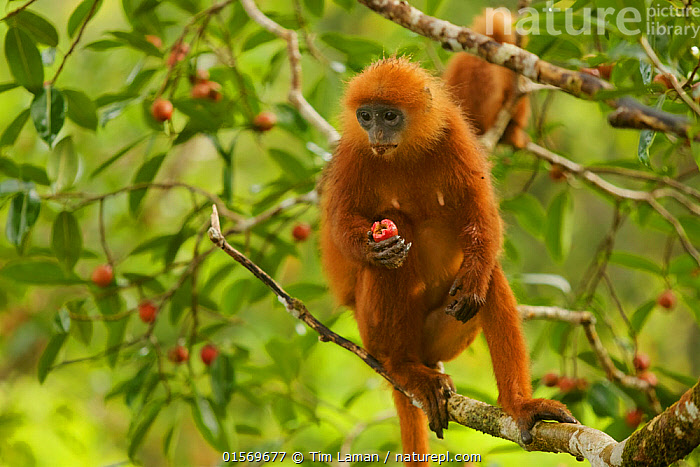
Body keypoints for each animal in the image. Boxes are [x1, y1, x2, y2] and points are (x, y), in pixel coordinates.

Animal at [320, 57, 576, 464]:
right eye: (366, 117)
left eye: (389, 116)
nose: (377, 133)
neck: (402, 154)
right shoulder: (353, 155)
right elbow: (342, 230)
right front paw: (370, 247)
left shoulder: (454, 136)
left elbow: (483, 219)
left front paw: (475, 277)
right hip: (372, 331)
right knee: (397, 232)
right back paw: (404, 368)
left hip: (438, 337)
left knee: (488, 275)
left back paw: (520, 406)